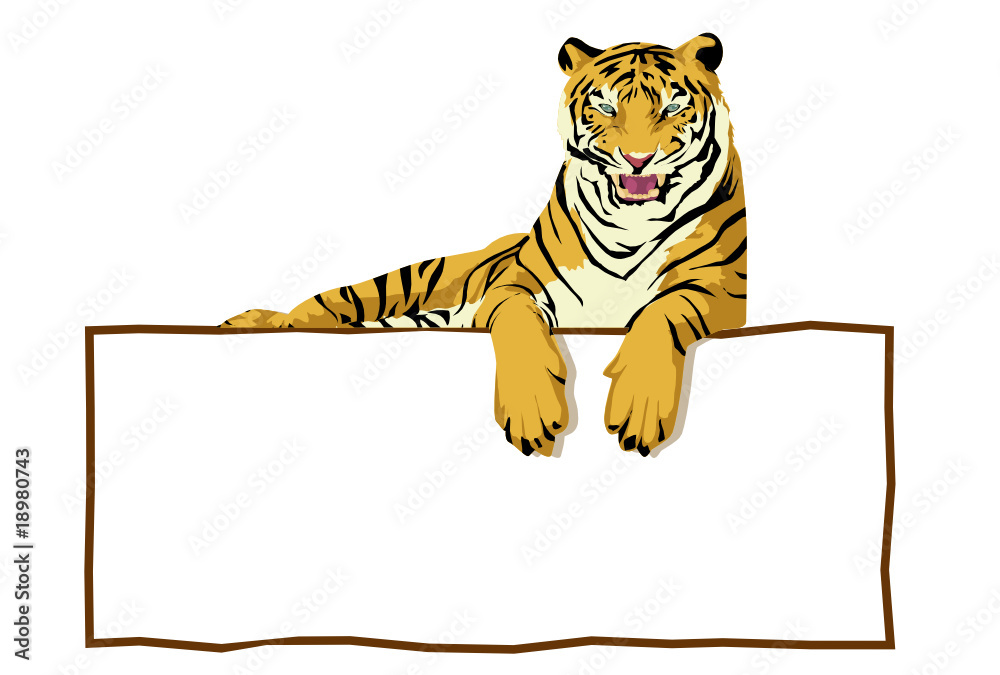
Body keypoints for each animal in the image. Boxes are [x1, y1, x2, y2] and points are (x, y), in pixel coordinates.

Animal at [223, 34, 747, 458]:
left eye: (672, 109)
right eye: (605, 108)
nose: (638, 160)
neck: (630, 225)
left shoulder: (719, 290)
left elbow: (662, 313)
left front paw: (641, 404)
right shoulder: (515, 285)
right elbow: (517, 325)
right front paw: (532, 410)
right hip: (396, 284)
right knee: (315, 311)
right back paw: (252, 322)